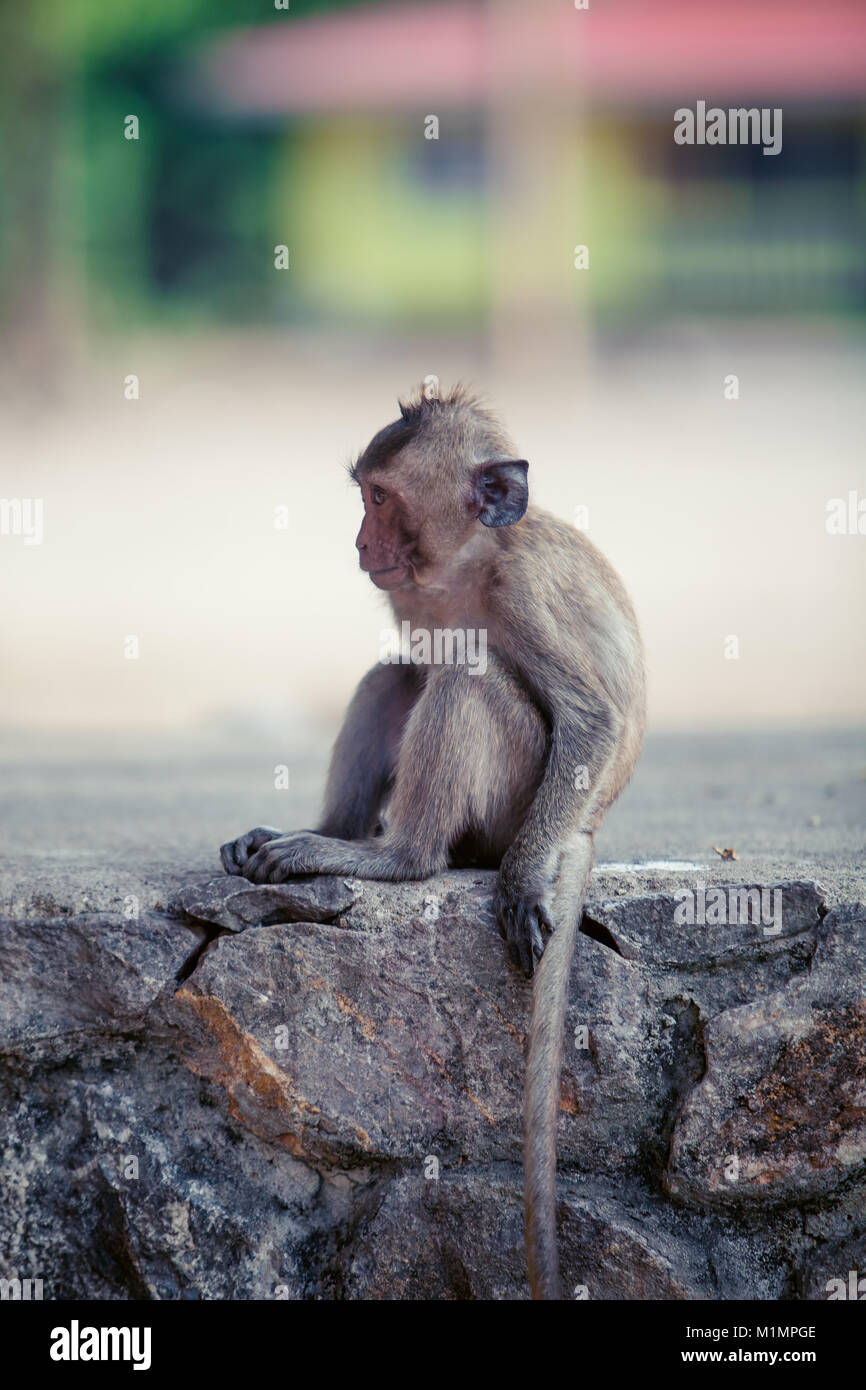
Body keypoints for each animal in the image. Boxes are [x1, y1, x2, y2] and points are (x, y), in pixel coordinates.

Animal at [221, 386, 645, 1299]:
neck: (470, 564)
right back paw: (333, 835)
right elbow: (403, 667)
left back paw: (395, 856)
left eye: (382, 499)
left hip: (518, 808)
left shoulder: (527, 590)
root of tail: (587, 824)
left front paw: (523, 882)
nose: (358, 543)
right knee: (402, 674)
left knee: (464, 677)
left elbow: (590, 720)